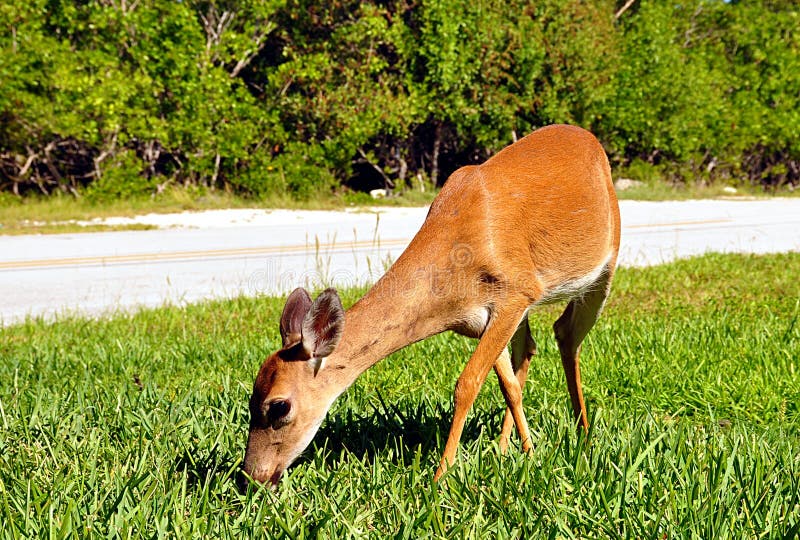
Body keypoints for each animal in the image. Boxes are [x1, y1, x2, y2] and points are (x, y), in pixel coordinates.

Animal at [242, 124, 621, 487]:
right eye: (250, 399)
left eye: (278, 406)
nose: (249, 477)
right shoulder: (485, 317)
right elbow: (508, 385)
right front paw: (521, 452)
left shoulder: (518, 290)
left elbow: (466, 384)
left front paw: (440, 477)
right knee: (530, 346)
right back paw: (510, 444)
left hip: (605, 267)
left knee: (567, 333)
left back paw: (585, 435)